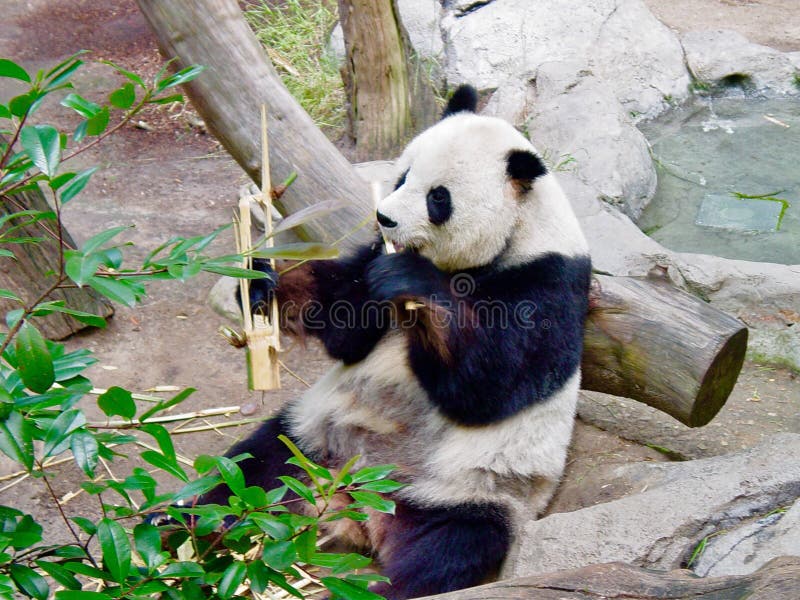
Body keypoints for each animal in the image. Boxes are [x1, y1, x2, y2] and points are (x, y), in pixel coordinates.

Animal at [201, 85, 591, 599]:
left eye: (438, 197)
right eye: (403, 175)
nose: (384, 217)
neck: (514, 236)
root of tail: (353, 504)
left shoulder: (549, 279)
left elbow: (489, 386)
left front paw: (409, 281)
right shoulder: (370, 258)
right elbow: (344, 324)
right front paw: (259, 281)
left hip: (466, 490)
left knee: (446, 548)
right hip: (310, 439)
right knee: (251, 472)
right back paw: (180, 527)